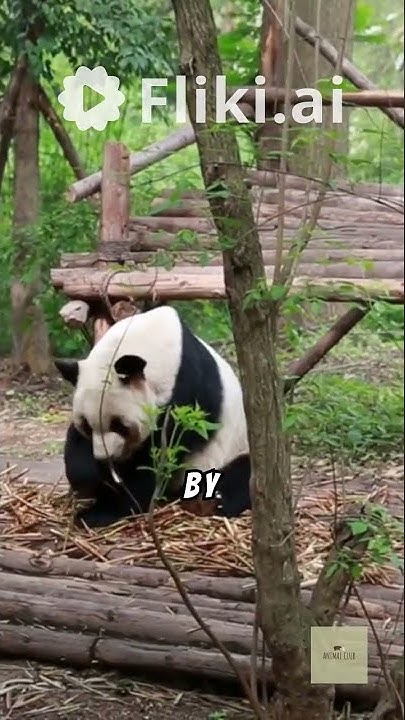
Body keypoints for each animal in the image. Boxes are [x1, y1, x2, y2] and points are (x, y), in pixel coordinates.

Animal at [55, 305, 251, 528]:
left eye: (119, 425)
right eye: (87, 425)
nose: (105, 458)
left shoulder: (187, 395)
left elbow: (154, 461)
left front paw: (100, 512)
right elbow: (76, 443)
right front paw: (90, 478)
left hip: (233, 449)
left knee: (240, 477)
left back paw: (216, 501)